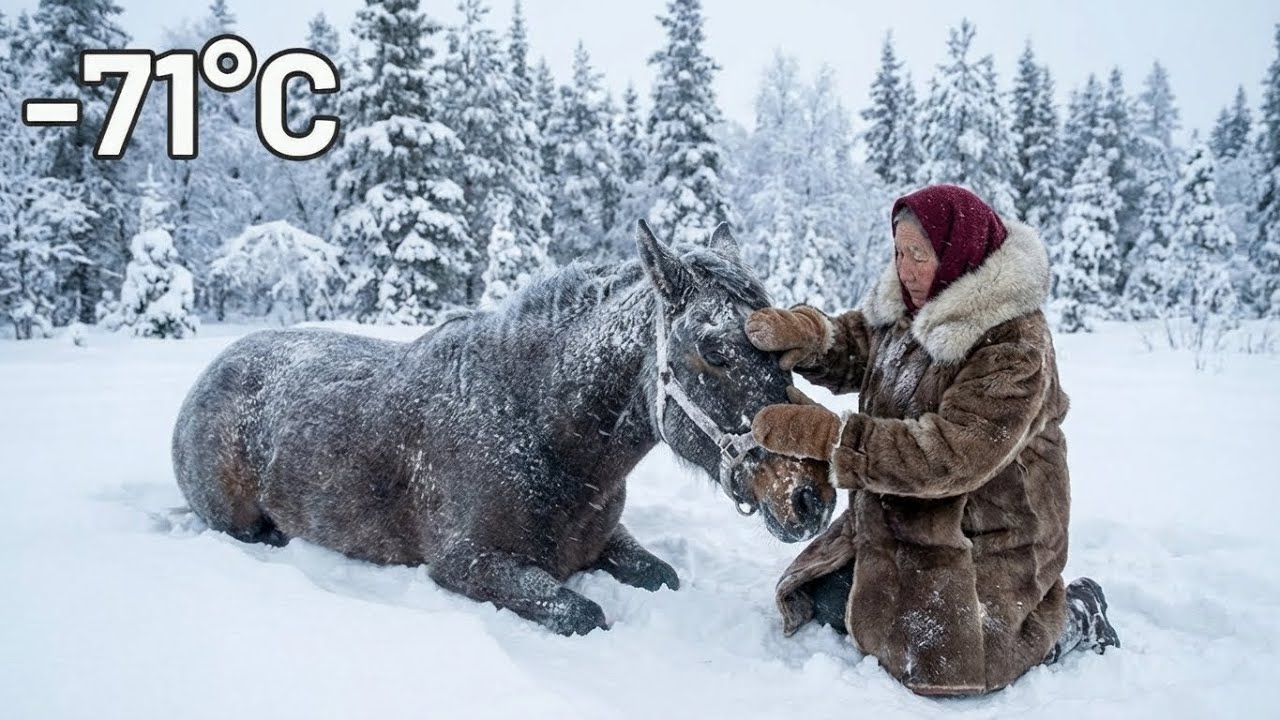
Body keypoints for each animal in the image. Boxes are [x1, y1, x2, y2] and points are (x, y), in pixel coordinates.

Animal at [172, 220, 836, 635]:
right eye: (714, 351)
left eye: (788, 355)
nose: (812, 497)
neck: (539, 431)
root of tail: (215, 368)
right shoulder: (466, 564)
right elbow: (583, 615)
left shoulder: (606, 541)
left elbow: (664, 576)